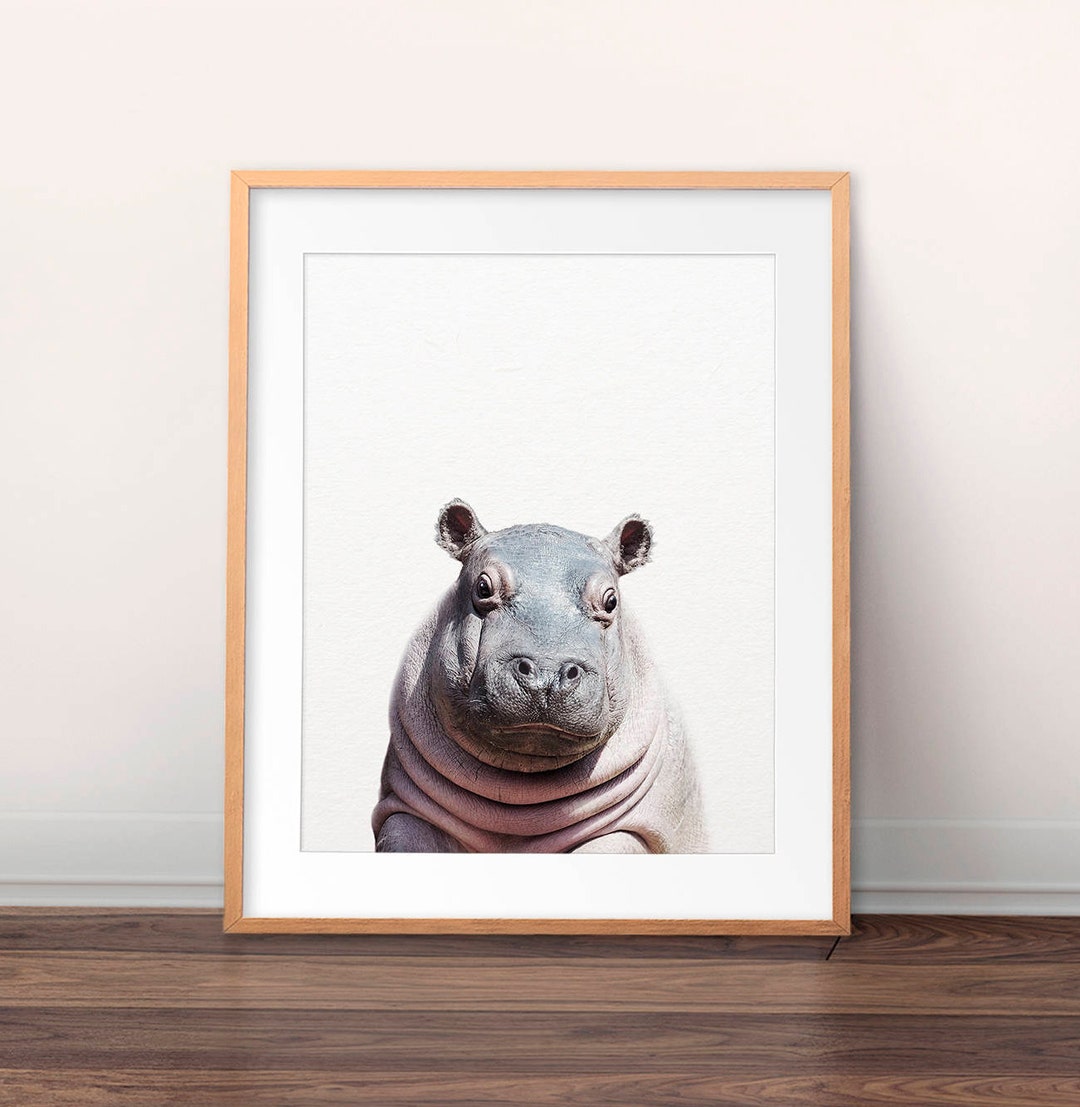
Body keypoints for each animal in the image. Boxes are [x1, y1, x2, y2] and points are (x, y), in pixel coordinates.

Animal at [371, 500, 708, 853]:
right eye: (482, 587)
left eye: (611, 600)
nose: (546, 673)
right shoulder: (403, 810)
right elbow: (403, 837)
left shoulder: (635, 830)